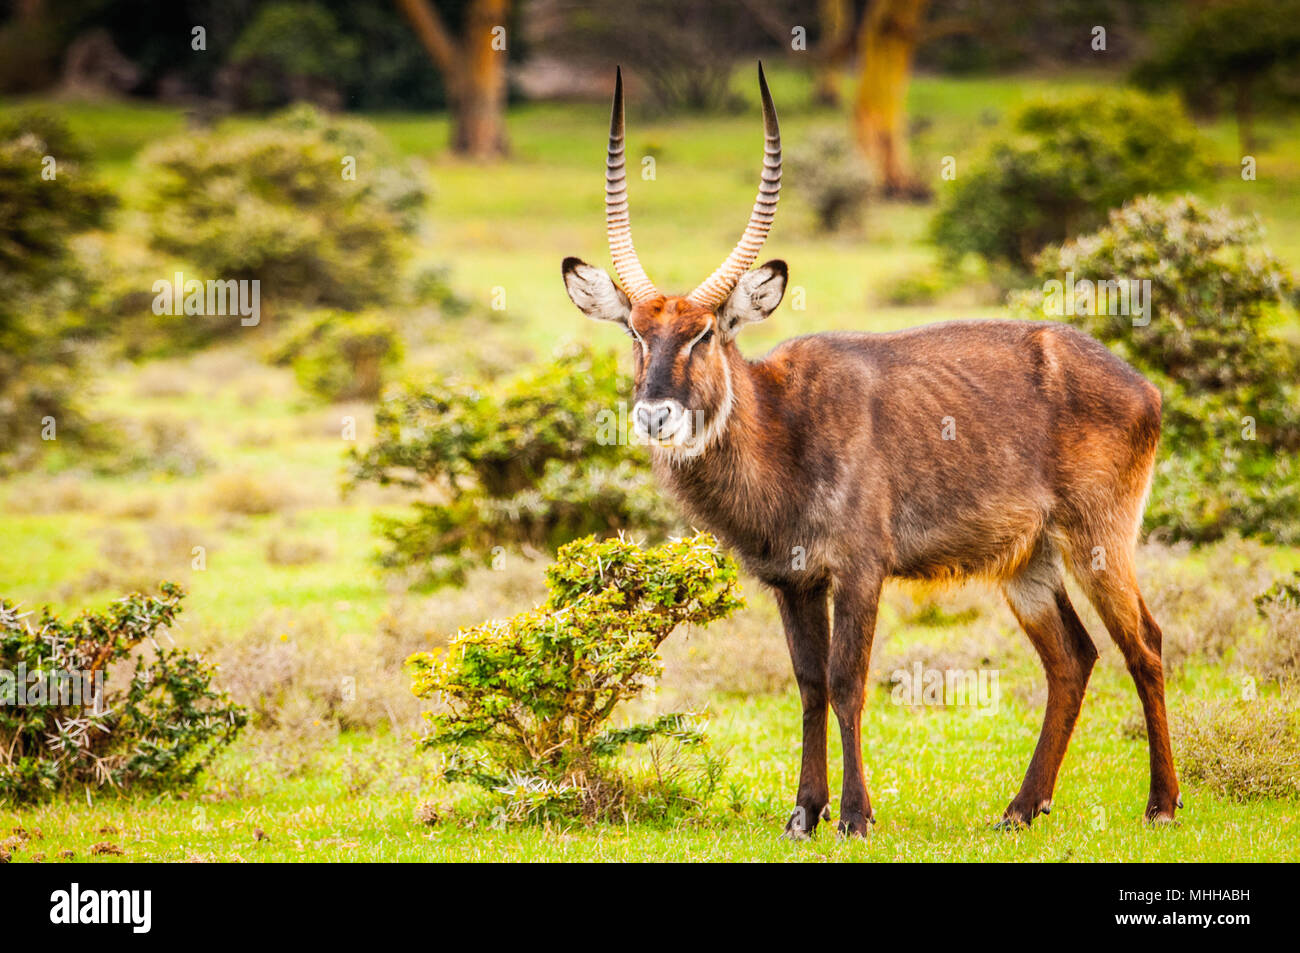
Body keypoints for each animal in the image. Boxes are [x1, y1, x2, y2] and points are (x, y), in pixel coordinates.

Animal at [560, 64, 1179, 838]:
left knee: (1144, 644)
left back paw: (1161, 804)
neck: (783, 425)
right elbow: (808, 682)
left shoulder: (860, 570)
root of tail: (1142, 384)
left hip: (1099, 537)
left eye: (705, 333)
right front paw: (804, 810)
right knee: (1073, 658)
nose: (655, 415)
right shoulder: (793, 580)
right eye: (636, 333)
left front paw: (855, 814)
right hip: (1029, 561)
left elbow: (848, 681)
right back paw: (1020, 808)